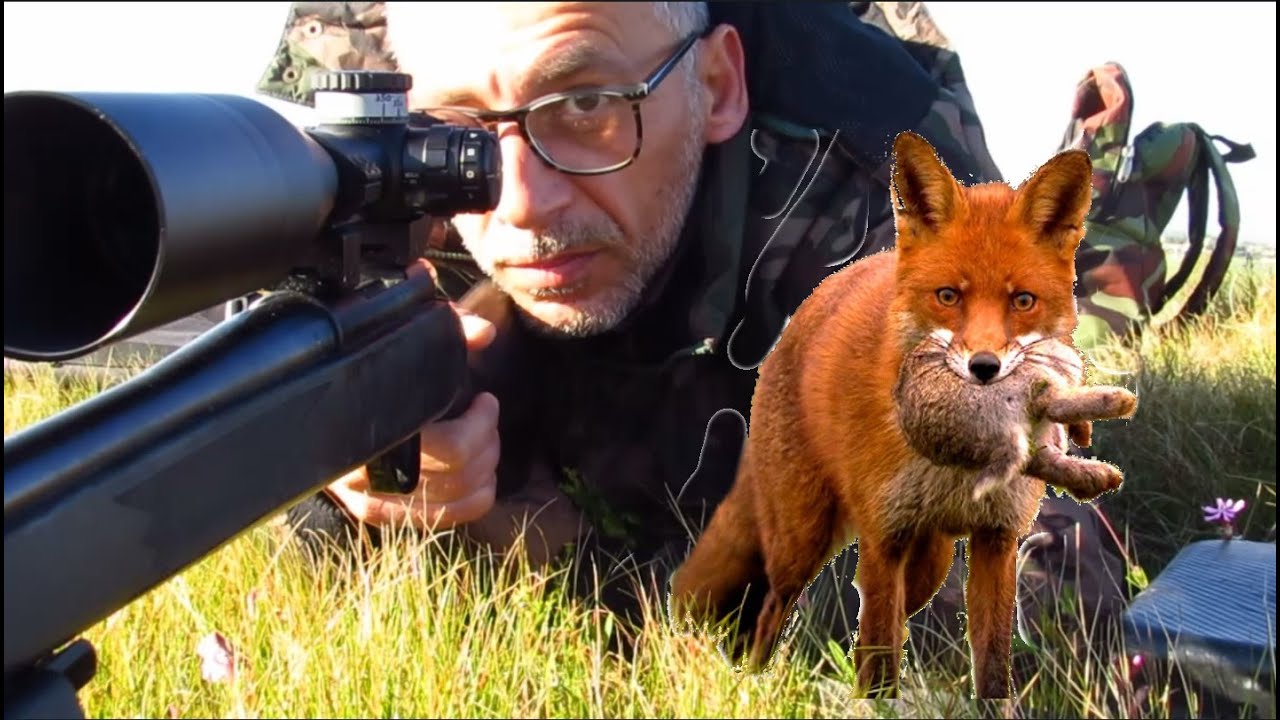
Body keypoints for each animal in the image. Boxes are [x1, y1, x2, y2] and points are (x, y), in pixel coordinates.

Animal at [668, 131, 1127, 699]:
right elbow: (880, 656)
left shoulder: (996, 540)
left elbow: (991, 662)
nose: (984, 369)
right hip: (803, 540)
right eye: (948, 296)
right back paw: (755, 684)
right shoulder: (885, 537)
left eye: (1023, 301)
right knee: (772, 610)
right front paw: (875, 703)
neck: (959, 468)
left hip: (929, 562)